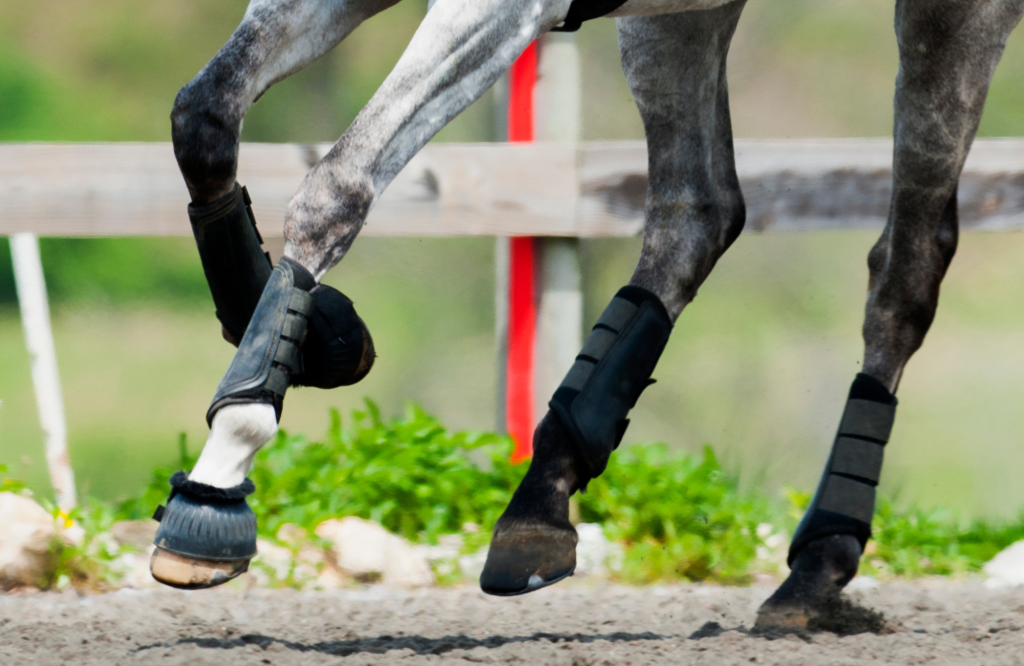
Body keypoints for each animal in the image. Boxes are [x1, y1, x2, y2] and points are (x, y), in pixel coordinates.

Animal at [145, 0, 1024, 629]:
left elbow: (337, 185)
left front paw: (221, 474)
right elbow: (203, 115)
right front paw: (319, 336)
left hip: (951, 13)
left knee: (906, 264)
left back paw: (818, 562)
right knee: (696, 214)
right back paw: (540, 504)